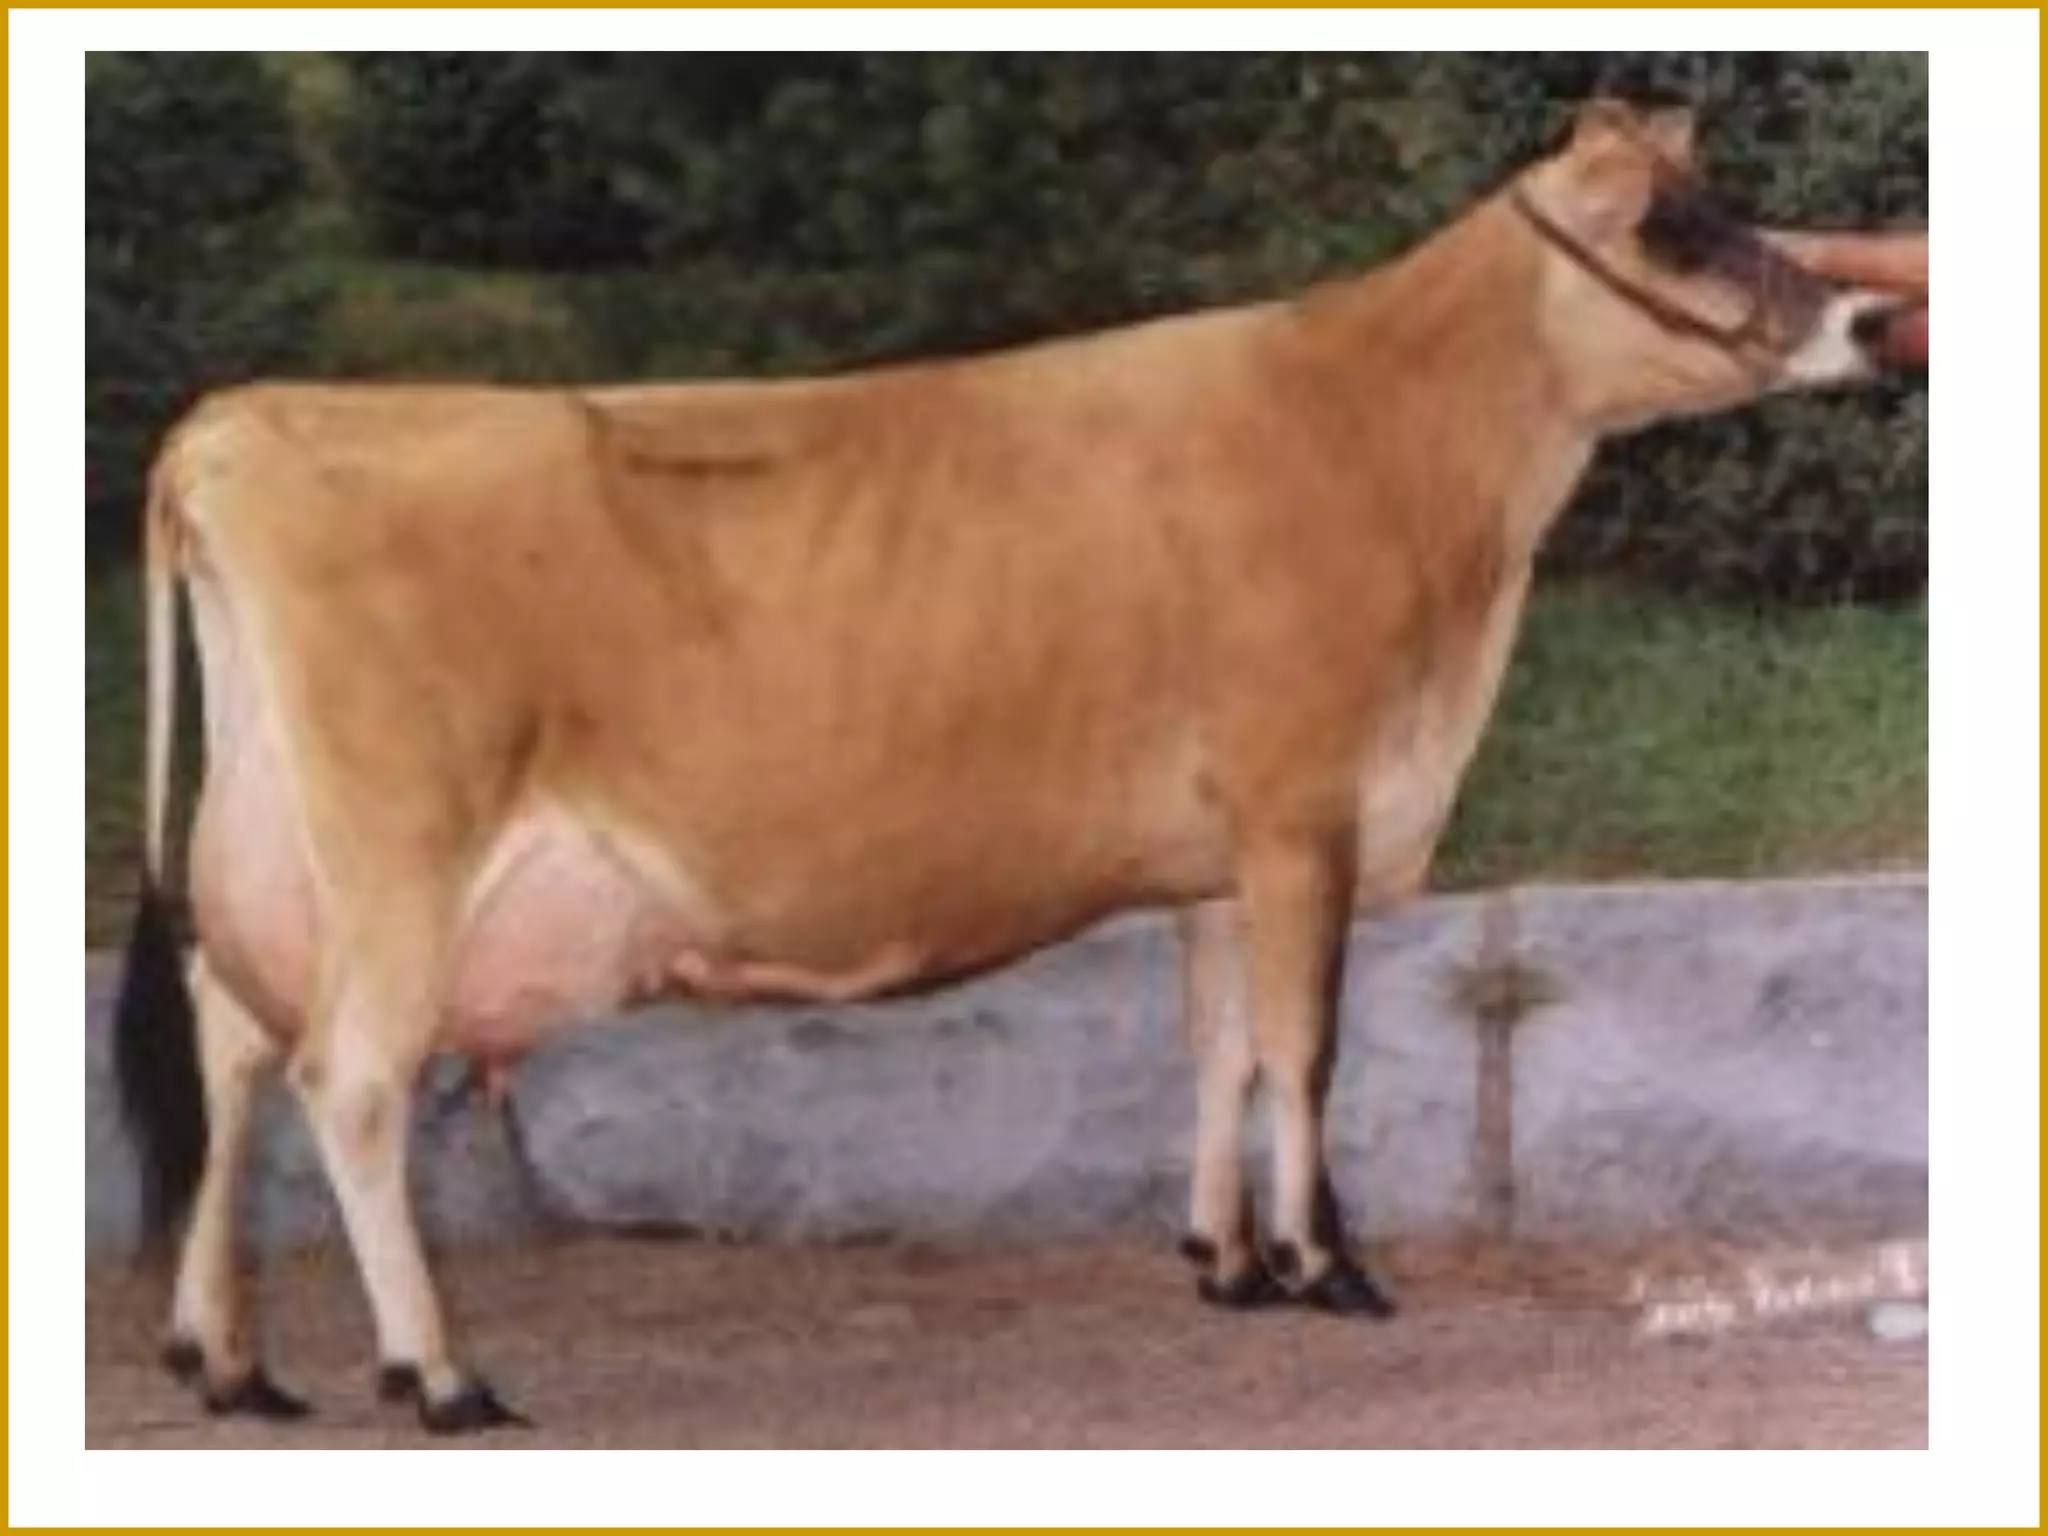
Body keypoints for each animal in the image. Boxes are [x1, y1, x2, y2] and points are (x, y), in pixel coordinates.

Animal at [111, 98, 1923, 1433]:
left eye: (1723, 203)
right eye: (1669, 228)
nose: (1863, 314)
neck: (1411, 463)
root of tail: (245, 419)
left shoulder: (1222, 850)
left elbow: (1221, 1045)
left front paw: (1224, 1258)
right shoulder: (1303, 805)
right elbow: (1304, 1047)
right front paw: (1330, 1265)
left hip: (279, 850)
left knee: (228, 1040)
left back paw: (229, 1359)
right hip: (401, 848)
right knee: (346, 1079)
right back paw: (439, 1375)